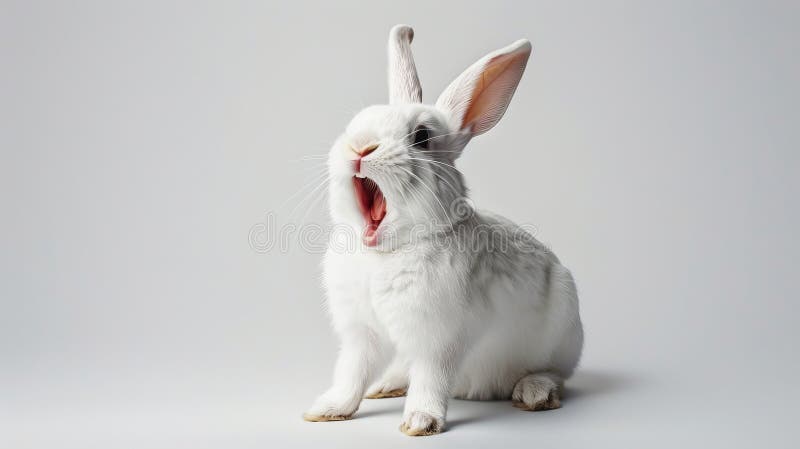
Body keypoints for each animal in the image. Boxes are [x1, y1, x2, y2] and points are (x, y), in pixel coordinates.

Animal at [302, 25, 583, 436]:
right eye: (355, 122)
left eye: (421, 137)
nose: (360, 147)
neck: (385, 251)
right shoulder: (361, 336)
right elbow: (351, 374)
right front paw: (326, 410)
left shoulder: (438, 339)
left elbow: (430, 379)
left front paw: (420, 422)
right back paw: (386, 385)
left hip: (561, 333)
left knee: (554, 373)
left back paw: (534, 393)